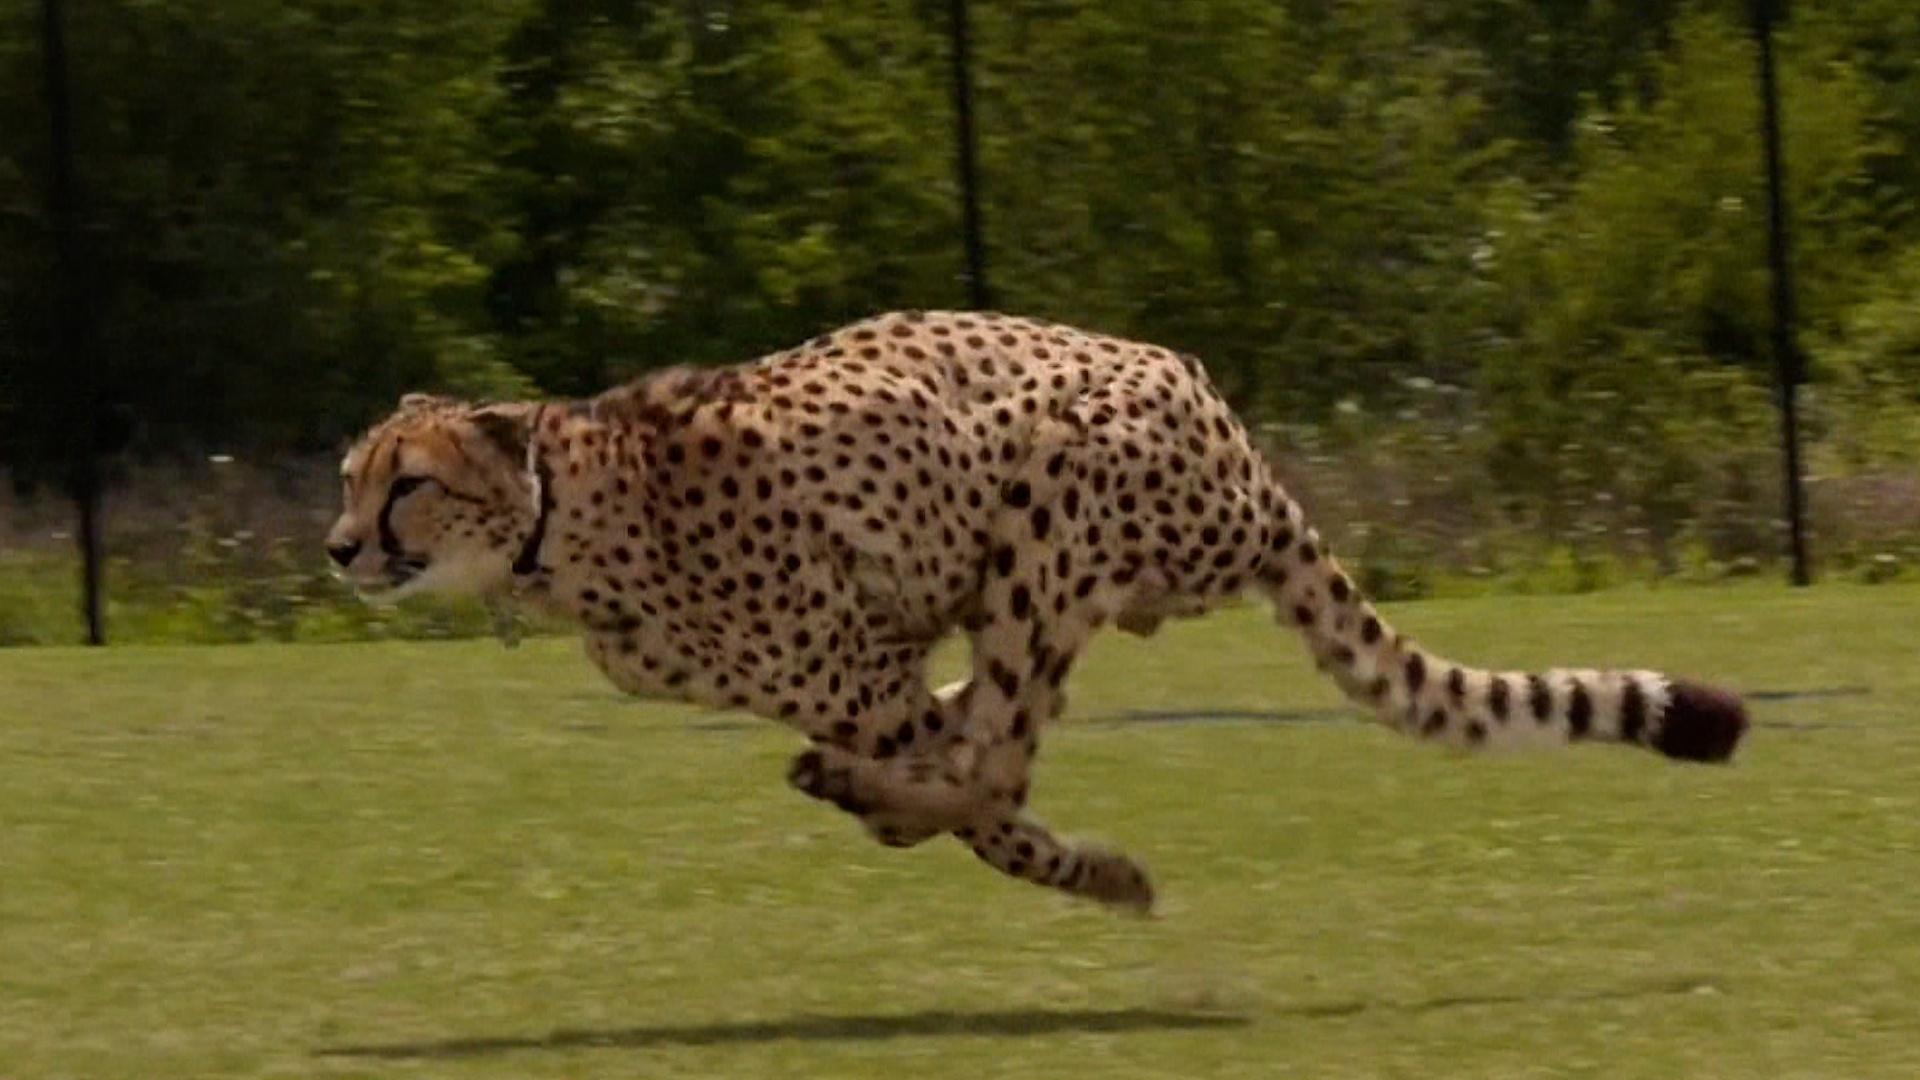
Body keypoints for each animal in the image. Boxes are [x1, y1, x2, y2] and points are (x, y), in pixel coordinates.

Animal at [327, 310, 1748, 914]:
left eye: (409, 483)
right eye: (349, 476)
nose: (340, 548)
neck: (562, 521)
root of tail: (1242, 444)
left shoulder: (868, 672)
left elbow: (986, 800)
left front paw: (1089, 873)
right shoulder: (880, 673)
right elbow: (970, 771)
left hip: (1051, 485)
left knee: (996, 750)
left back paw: (876, 799)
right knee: (997, 727)